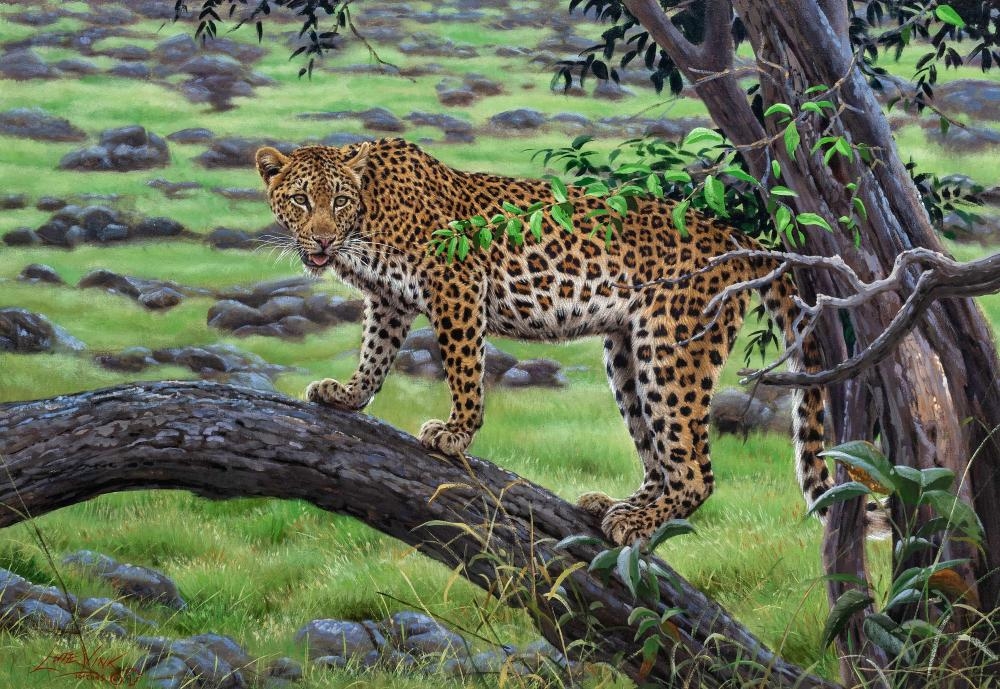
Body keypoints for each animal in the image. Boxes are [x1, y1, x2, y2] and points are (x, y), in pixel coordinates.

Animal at [255, 137, 834, 546]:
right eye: (301, 200)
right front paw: (348, 395)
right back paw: (623, 508)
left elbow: (463, 366)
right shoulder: (390, 301)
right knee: (658, 452)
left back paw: (636, 520)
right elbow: (374, 351)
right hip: (626, 354)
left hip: (671, 345)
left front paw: (456, 433)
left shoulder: (456, 284)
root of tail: (736, 236)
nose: (322, 239)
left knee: (695, 469)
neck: (368, 216)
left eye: (340, 200)